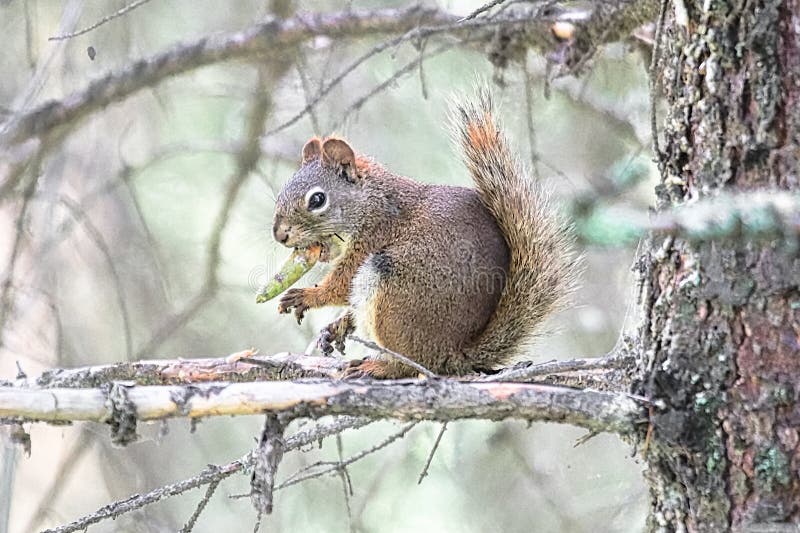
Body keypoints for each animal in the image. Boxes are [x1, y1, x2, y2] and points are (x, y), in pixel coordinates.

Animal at [272, 90, 579, 378]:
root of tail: (453, 354)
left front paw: (308, 295)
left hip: (394, 294)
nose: (279, 235)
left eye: (317, 200)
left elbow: (343, 284)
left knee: (408, 363)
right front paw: (338, 325)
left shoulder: (376, 233)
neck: (371, 201)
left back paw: (381, 367)